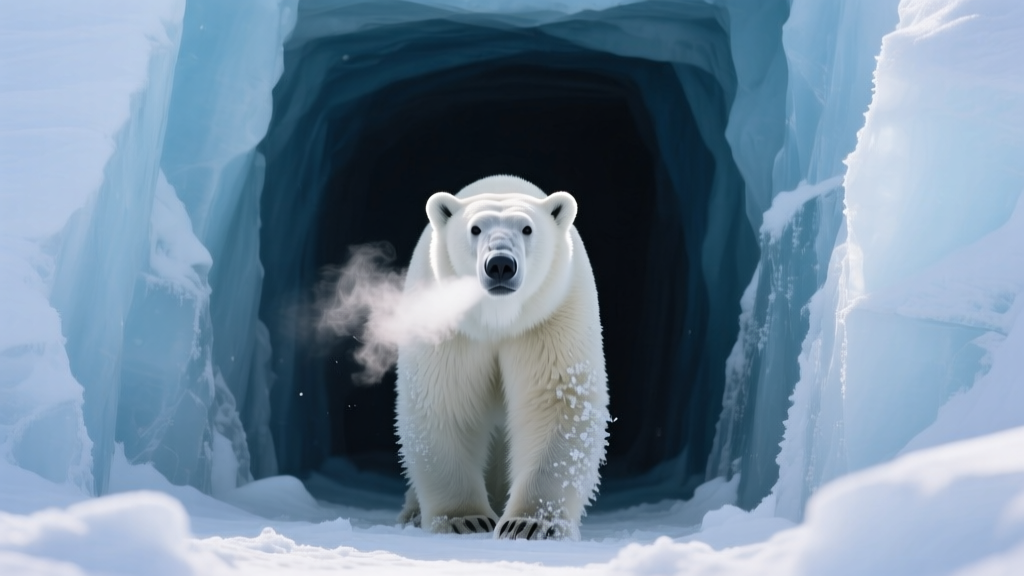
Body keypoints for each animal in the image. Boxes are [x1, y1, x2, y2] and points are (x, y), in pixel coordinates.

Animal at [395, 175, 609, 541]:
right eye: (475, 228)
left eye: (527, 228)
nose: (500, 265)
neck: (498, 320)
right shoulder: (449, 327)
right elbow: (445, 400)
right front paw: (464, 520)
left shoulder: (551, 317)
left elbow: (558, 404)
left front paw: (531, 523)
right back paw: (411, 513)